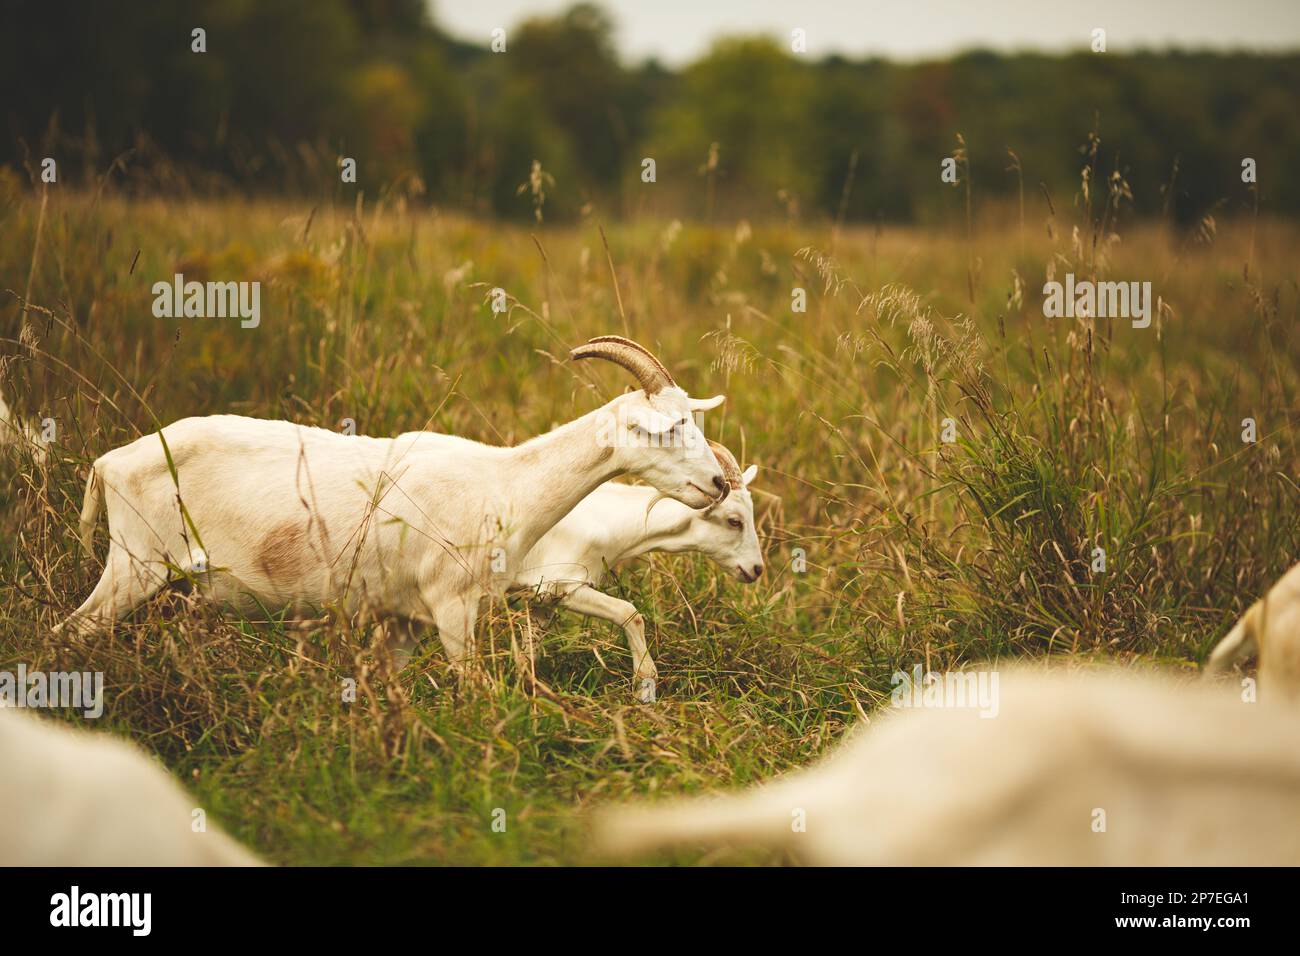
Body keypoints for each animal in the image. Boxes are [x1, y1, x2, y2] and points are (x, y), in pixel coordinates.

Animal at [56, 337, 731, 680]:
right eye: (671, 427)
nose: (720, 483)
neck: (504, 483)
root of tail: (110, 462)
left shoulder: (405, 619)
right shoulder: (452, 605)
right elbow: (470, 688)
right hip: (136, 565)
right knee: (71, 633)